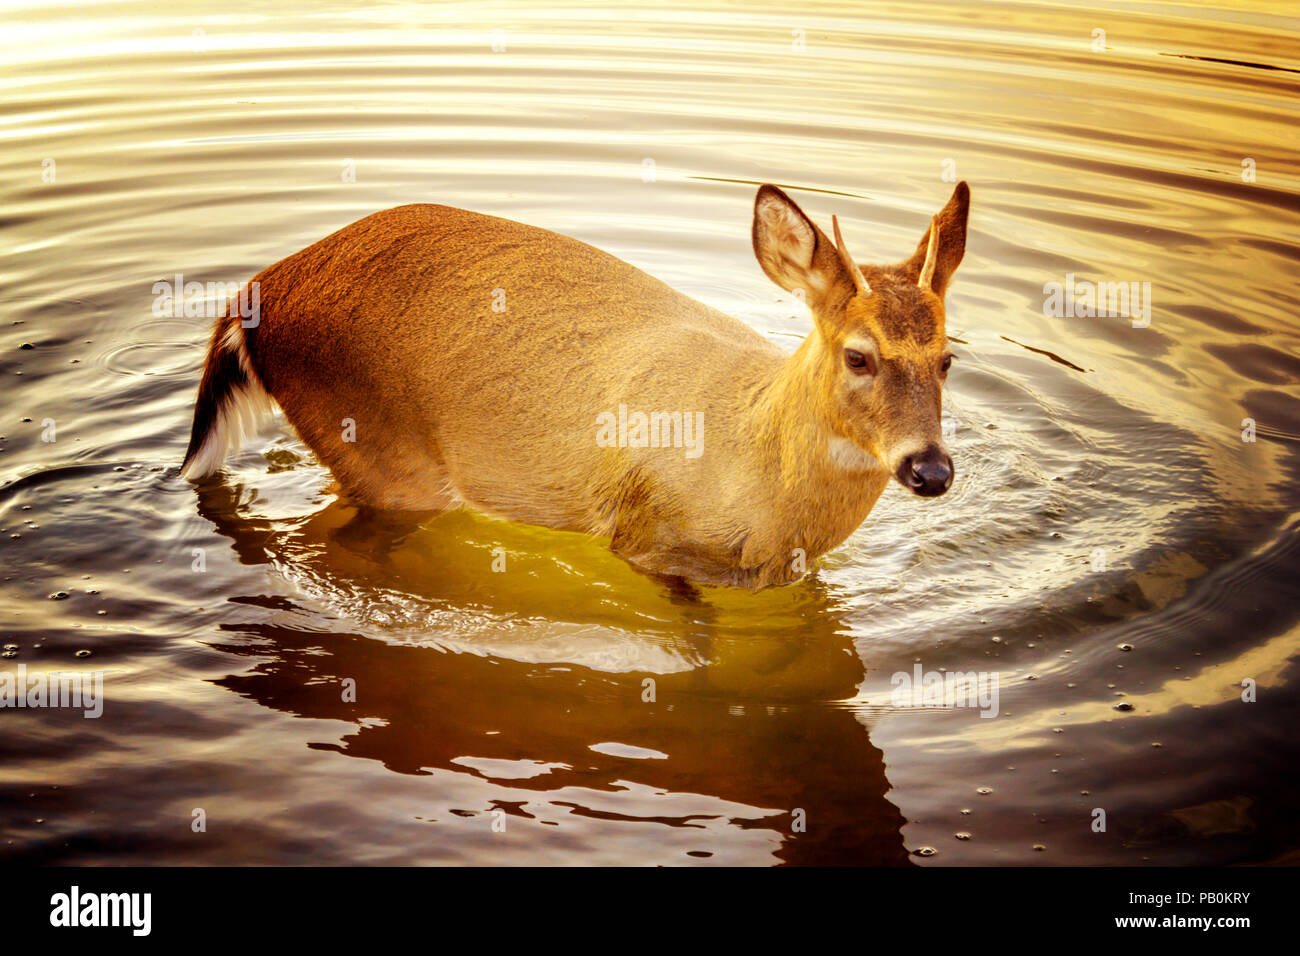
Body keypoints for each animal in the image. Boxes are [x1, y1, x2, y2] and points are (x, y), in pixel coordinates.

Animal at [181, 182, 970, 588]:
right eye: (859, 357)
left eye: (947, 359)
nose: (930, 469)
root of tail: (252, 296)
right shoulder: (642, 536)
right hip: (383, 452)